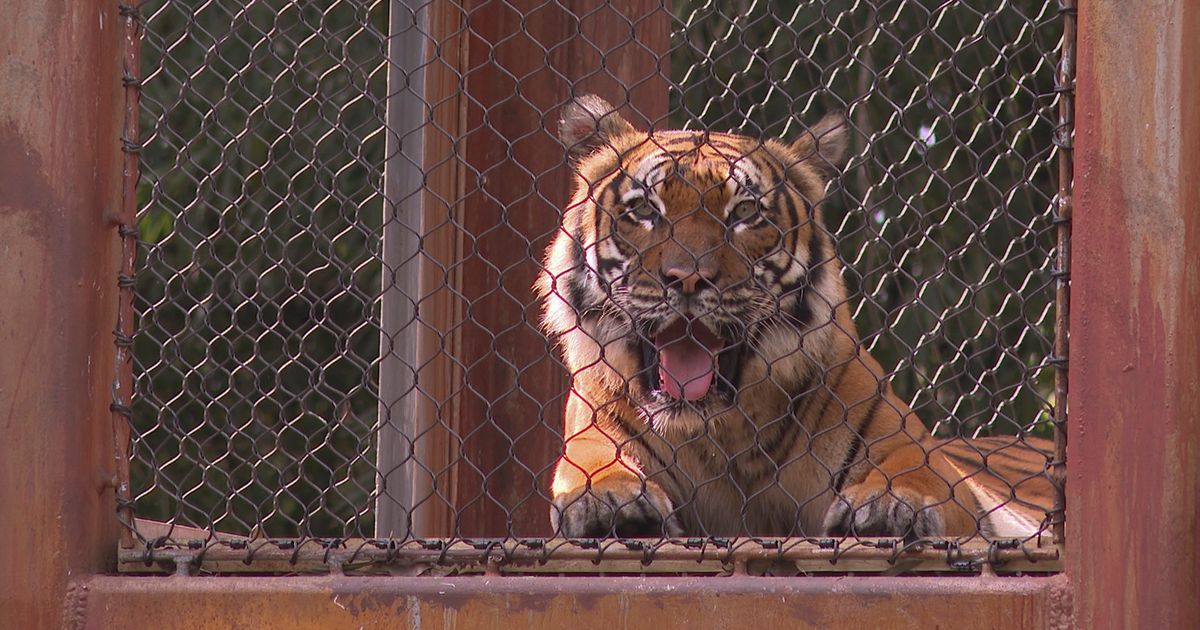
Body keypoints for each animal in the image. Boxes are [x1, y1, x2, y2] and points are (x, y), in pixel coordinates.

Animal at [536, 94, 1055, 541]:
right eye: (645, 208)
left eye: (744, 212)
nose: (687, 278)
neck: (724, 433)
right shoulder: (594, 426)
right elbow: (595, 463)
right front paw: (608, 498)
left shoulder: (923, 459)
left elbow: (912, 472)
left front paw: (892, 502)